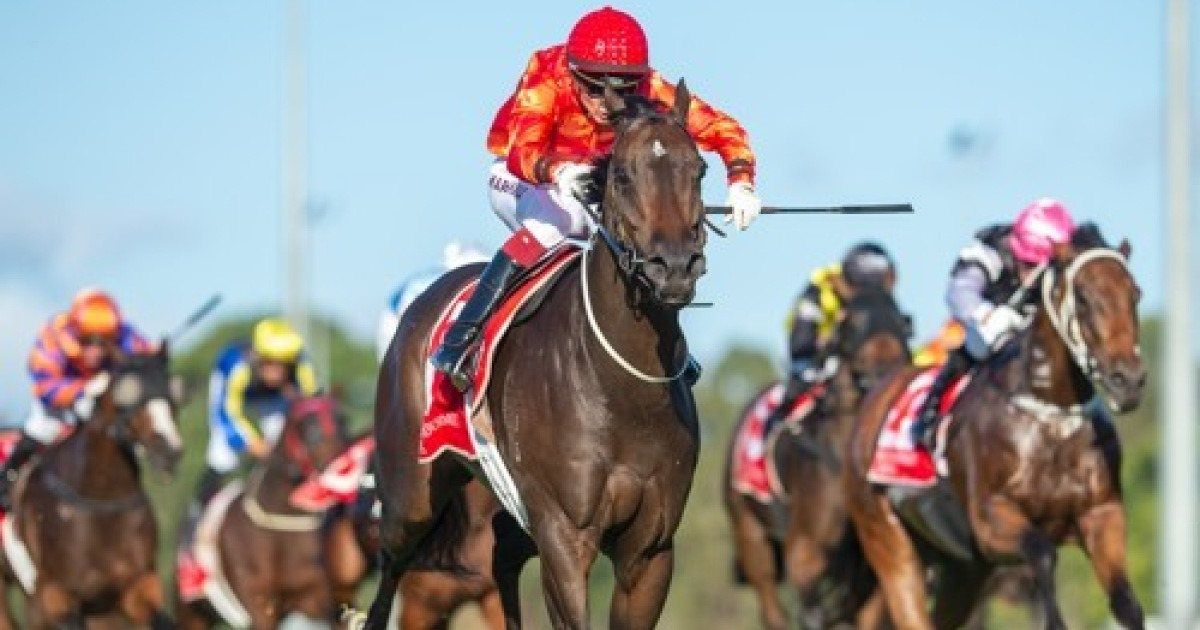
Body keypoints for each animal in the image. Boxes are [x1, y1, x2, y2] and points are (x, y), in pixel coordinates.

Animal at [177, 394, 349, 629]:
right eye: (310, 426)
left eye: (343, 420)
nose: (345, 467)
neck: (278, 534)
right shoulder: (258, 605)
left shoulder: (314, 597)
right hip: (193, 613)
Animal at [358, 85, 708, 630]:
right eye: (623, 175)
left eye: (698, 169)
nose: (673, 267)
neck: (625, 389)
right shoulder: (564, 536)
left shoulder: (650, 548)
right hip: (409, 495)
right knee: (390, 567)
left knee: (502, 549)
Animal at [725, 286, 912, 630]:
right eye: (851, 324)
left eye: (902, 322)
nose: (883, 371)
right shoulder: (805, 551)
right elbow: (811, 611)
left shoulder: (873, 562)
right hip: (751, 534)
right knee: (773, 609)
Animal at [845, 224, 1146, 630]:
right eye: (1082, 297)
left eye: (1135, 294)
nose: (1128, 381)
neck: (1051, 414)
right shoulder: (989, 519)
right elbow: (1042, 552)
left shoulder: (1101, 514)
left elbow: (1126, 602)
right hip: (888, 542)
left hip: (963, 570)